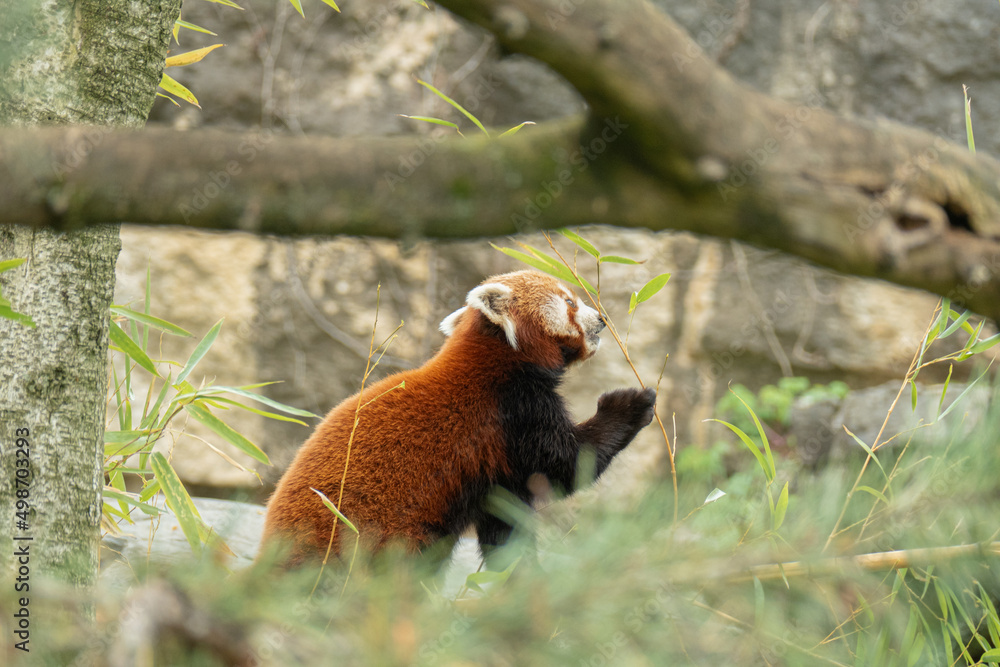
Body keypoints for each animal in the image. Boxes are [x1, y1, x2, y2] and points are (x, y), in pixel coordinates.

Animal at [261, 269, 656, 566]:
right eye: (570, 302)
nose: (602, 319)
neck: (496, 360)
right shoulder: (512, 412)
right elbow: (565, 465)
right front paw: (631, 403)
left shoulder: (497, 471)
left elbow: (505, 524)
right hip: (376, 533)